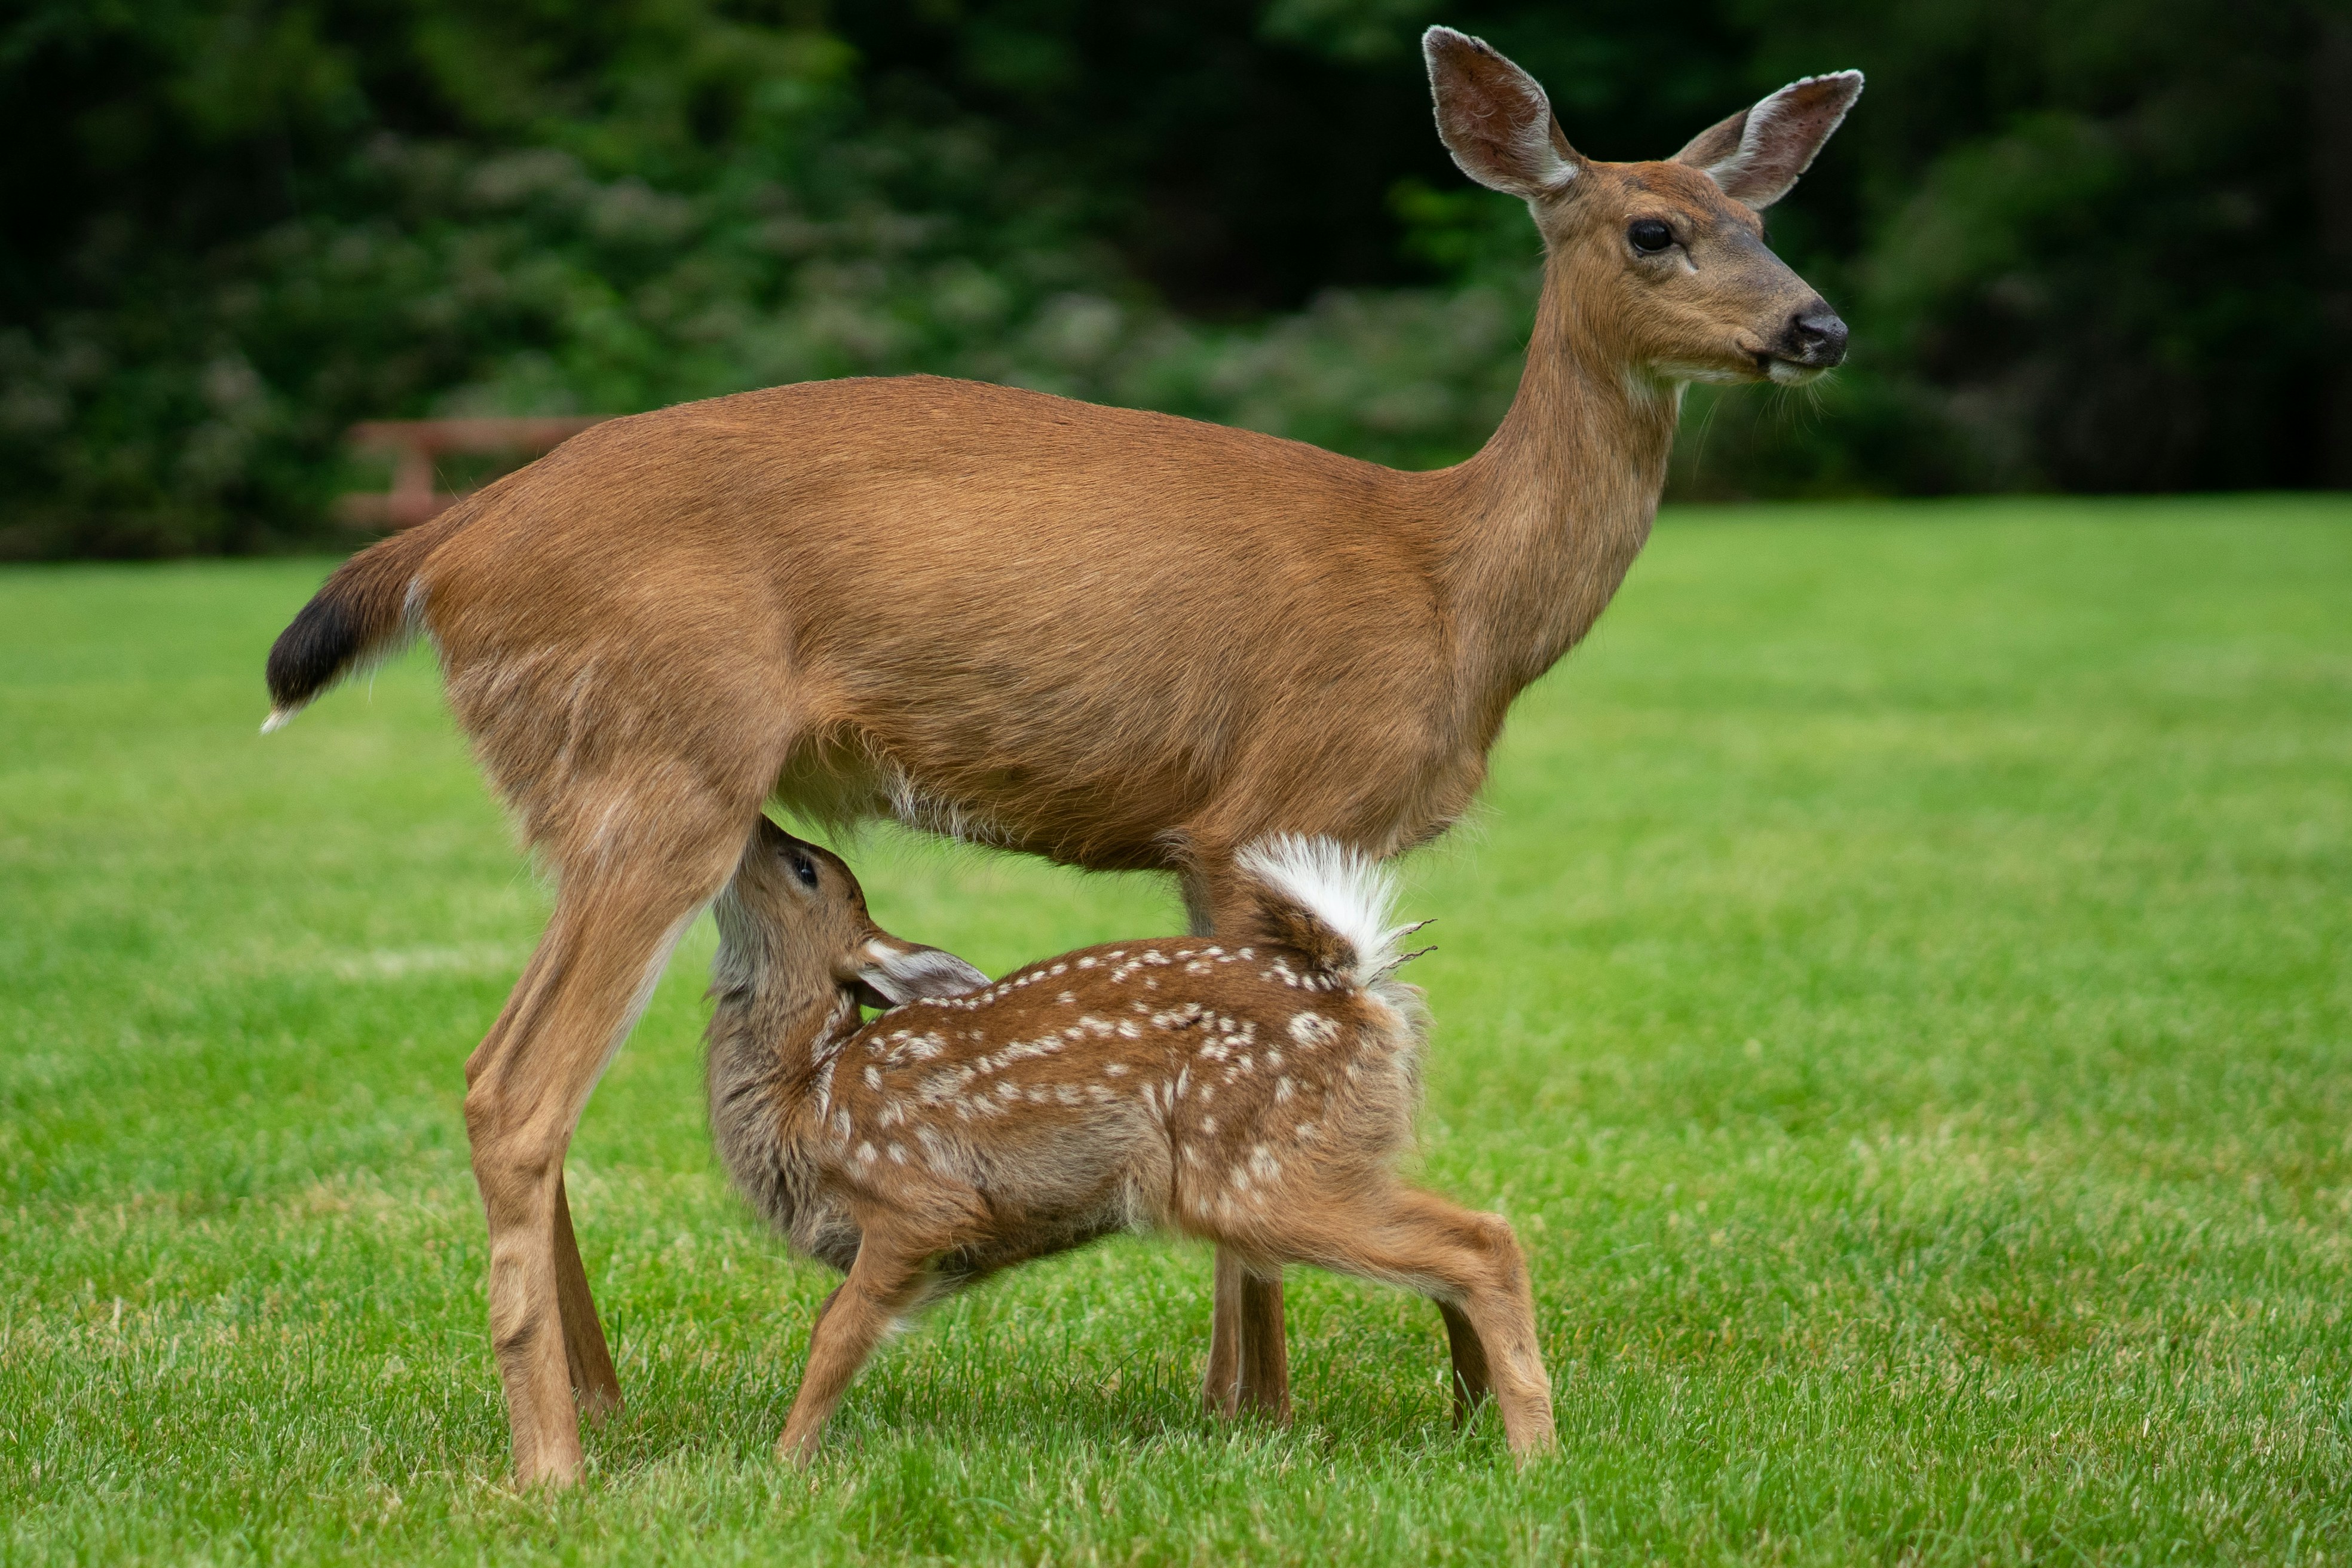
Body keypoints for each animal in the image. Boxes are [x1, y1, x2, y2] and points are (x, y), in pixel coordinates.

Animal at [706, 817, 1555, 1461]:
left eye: (806, 867)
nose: (754, 819)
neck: (809, 1092)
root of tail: (1360, 985)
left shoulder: (917, 1200)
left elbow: (837, 1332)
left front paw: (783, 1462)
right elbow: (831, 1322)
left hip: (1256, 1169)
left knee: (1482, 1238)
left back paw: (1531, 1453)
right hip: (1315, 1156)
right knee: (1452, 1247)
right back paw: (1471, 1424)